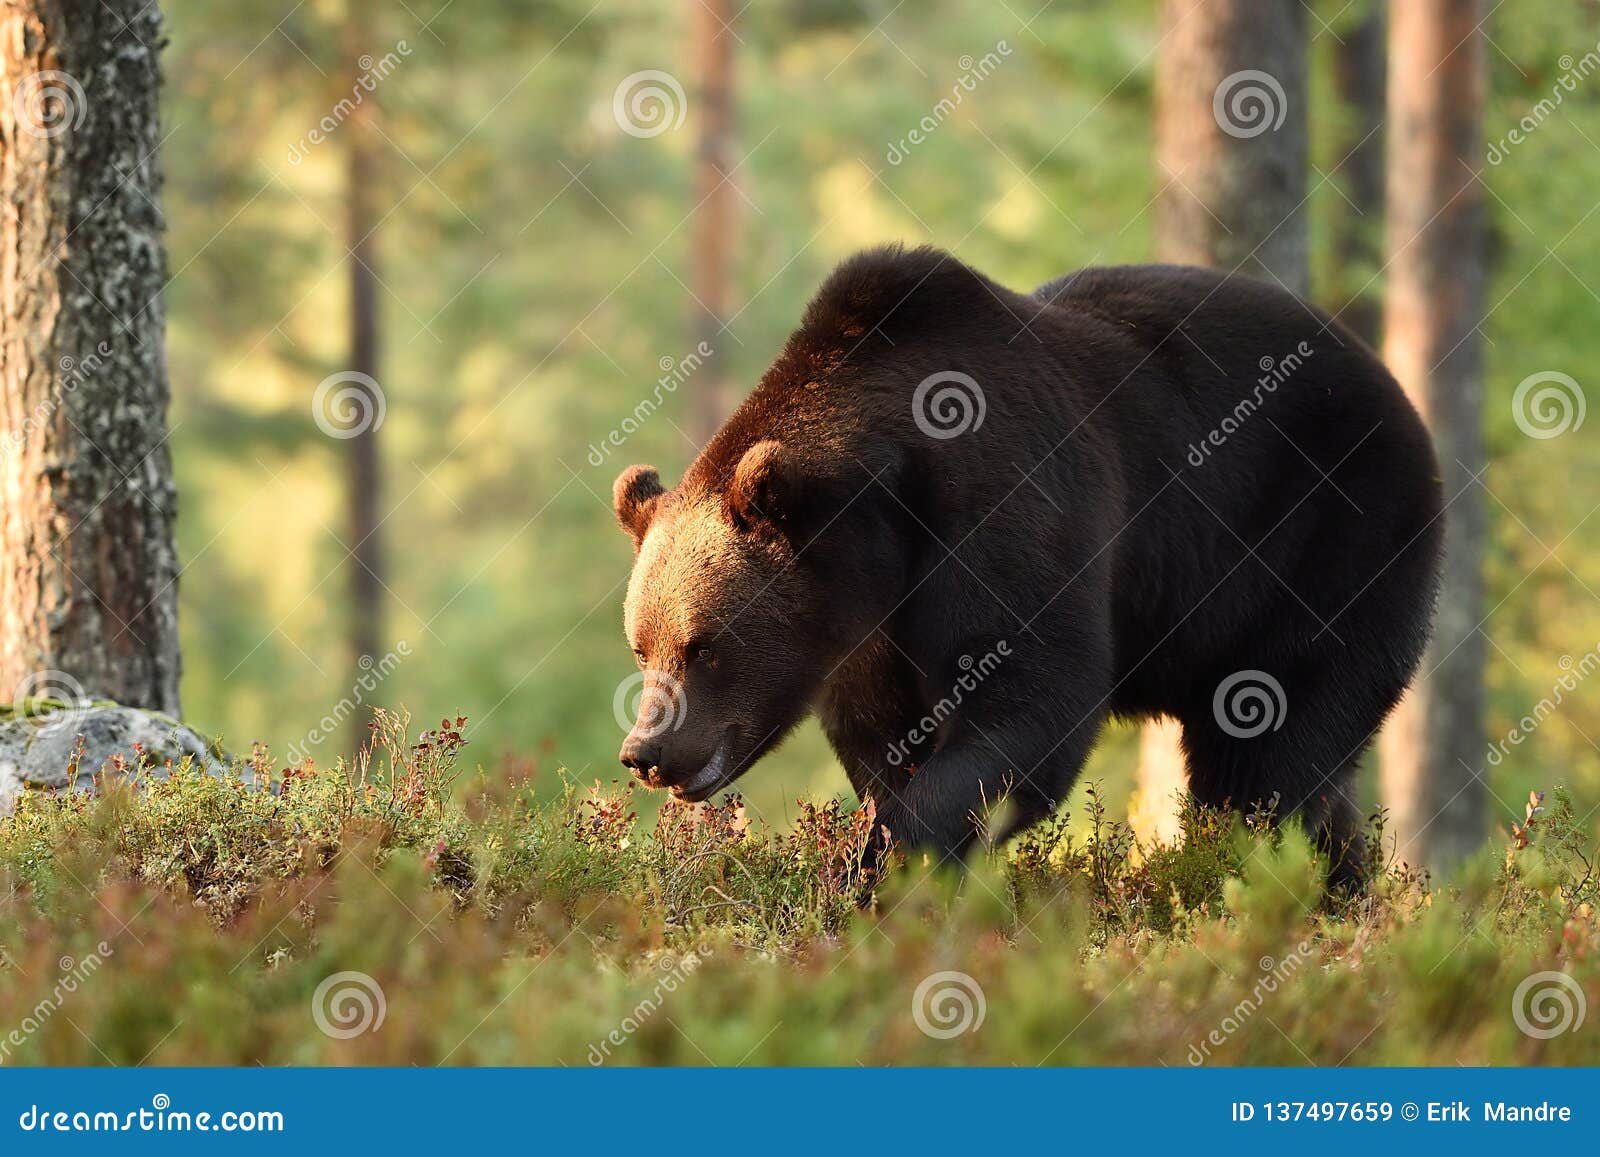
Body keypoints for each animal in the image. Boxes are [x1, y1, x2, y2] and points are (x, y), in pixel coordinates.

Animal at [612, 245, 1442, 889]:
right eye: (643, 646)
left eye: (705, 645)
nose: (647, 752)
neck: (887, 522)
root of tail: (1390, 383)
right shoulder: (871, 629)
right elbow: (887, 740)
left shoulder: (1005, 513)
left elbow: (1027, 706)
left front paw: (875, 869)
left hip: (1332, 536)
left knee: (1271, 749)